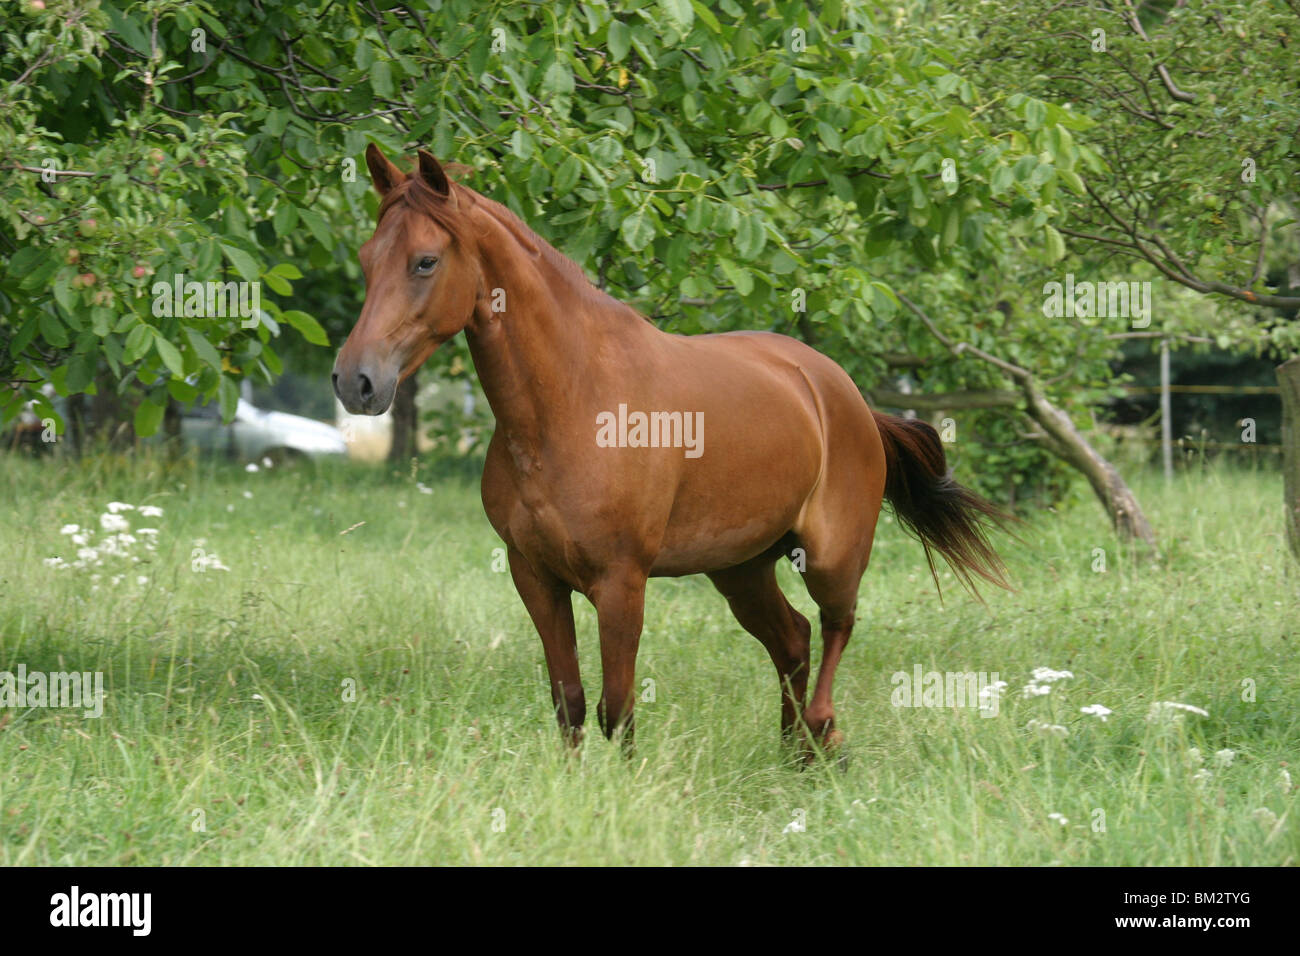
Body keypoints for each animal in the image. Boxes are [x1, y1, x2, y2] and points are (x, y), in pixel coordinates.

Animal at [333, 146, 1012, 759]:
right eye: (365, 259)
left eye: (425, 260)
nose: (355, 381)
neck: (572, 403)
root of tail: (840, 394)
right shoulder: (536, 578)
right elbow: (569, 703)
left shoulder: (620, 582)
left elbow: (617, 709)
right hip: (741, 567)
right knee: (792, 640)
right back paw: (793, 756)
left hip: (830, 555)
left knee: (836, 625)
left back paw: (823, 733)